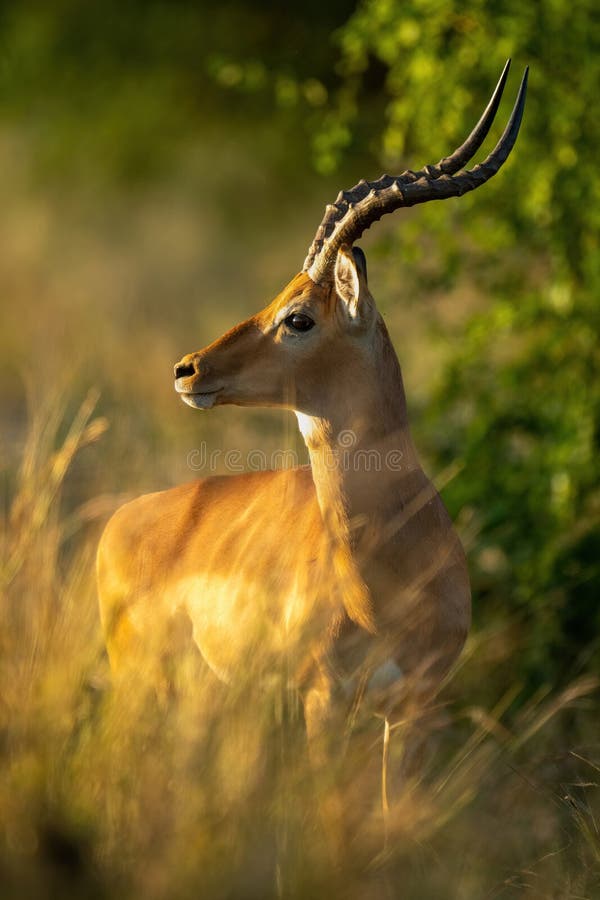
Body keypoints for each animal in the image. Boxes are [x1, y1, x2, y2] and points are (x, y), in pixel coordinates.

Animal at [97, 62, 527, 815]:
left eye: (298, 316)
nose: (188, 369)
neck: (388, 575)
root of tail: (119, 520)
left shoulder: (414, 707)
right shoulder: (323, 698)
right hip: (140, 679)